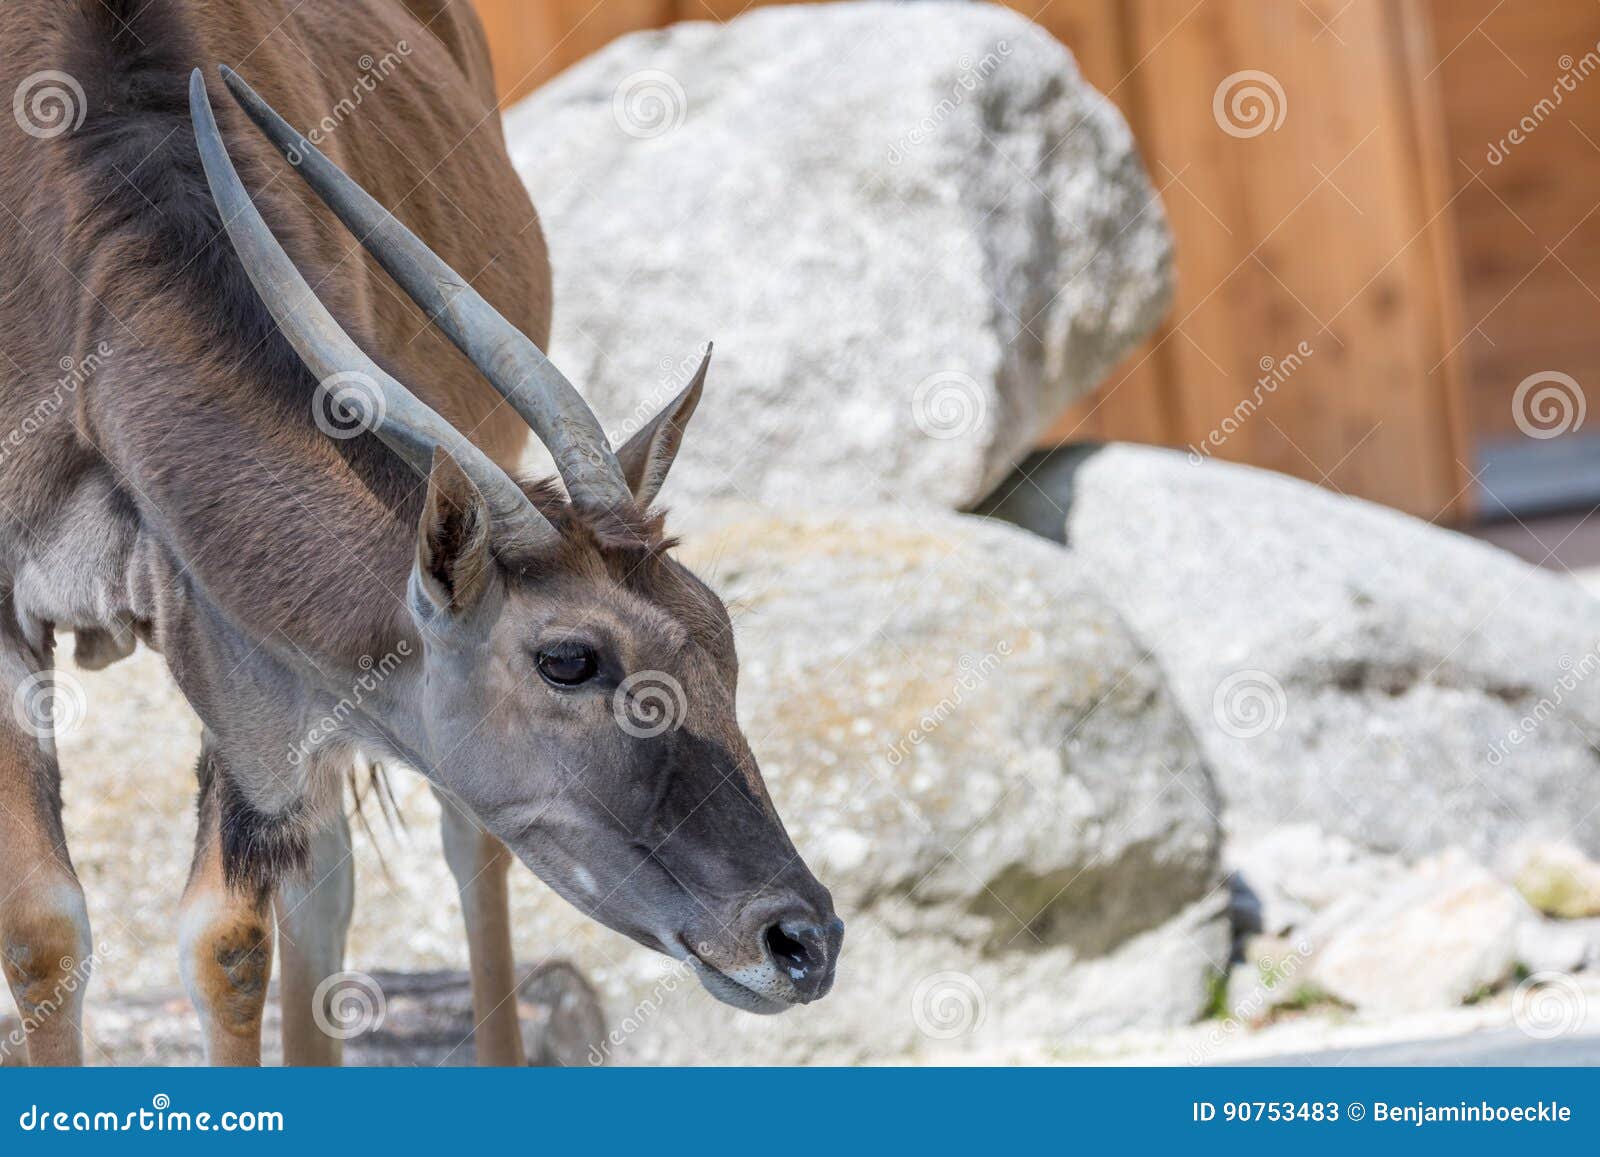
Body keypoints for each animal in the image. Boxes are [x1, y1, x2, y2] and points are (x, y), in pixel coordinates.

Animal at [0, 0, 840, 1066]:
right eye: (570, 658)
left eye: (722, 638)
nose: (802, 937)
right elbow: (45, 932)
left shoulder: (249, 656)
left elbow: (228, 941)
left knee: (436, 856)